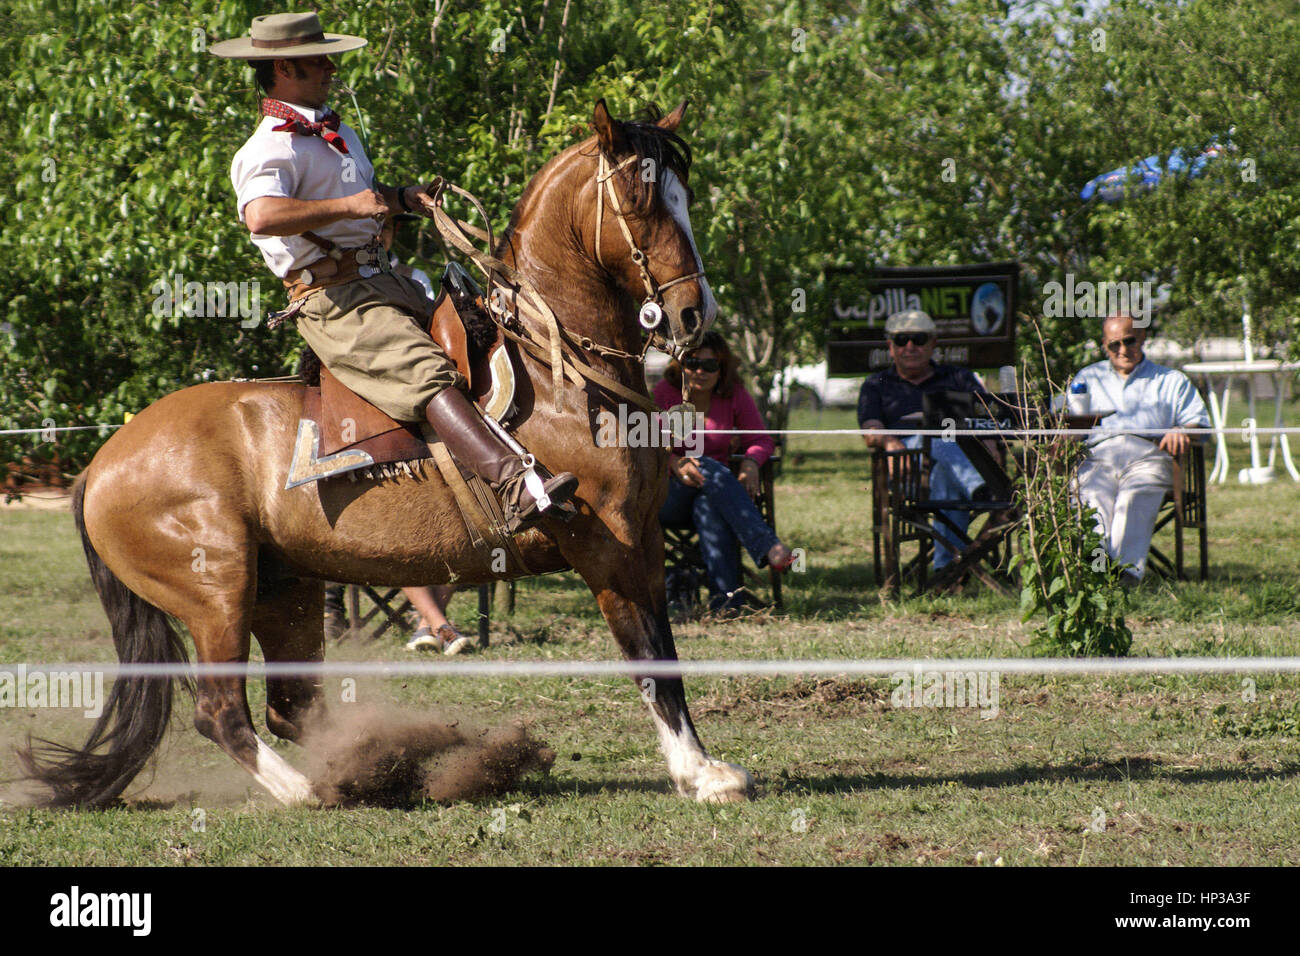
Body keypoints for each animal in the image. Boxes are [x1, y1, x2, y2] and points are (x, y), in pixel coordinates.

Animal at [21, 99, 755, 807]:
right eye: (641, 198)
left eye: (686, 193)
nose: (695, 315)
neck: (561, 370)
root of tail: (101, 465)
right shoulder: (605, 546)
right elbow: (648, 659)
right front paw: (700, 775)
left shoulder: (646, 541)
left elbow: (665, 654)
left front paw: (702, 766)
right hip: (217, 594)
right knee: (221, 711)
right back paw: (309, 791)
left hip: (285, 593)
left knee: (292, 708)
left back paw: (386, 766)